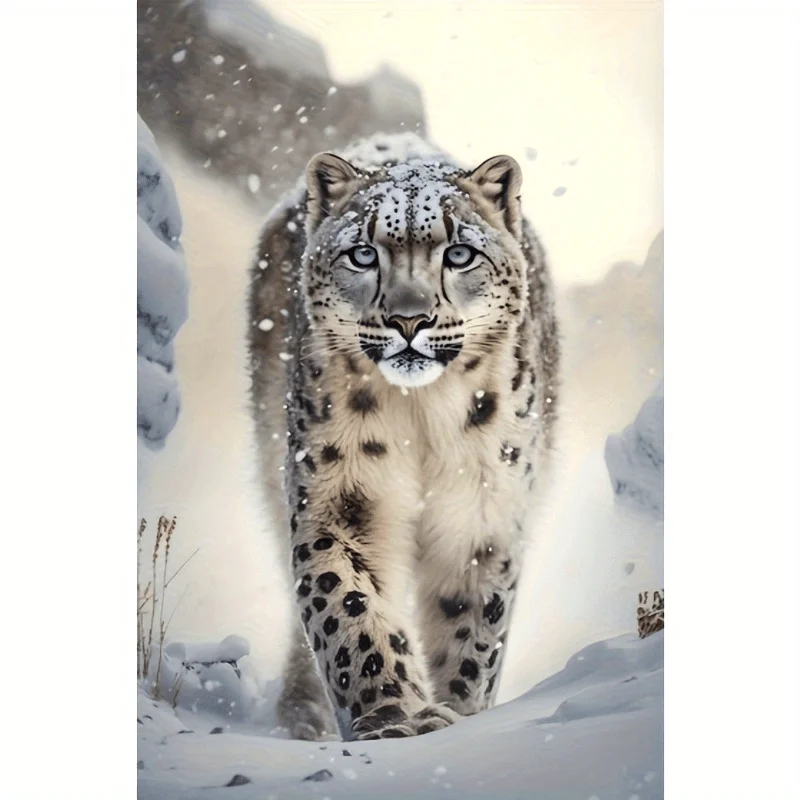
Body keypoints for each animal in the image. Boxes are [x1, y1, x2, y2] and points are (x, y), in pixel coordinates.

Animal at [247, 132, 560, 741]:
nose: (409, 319)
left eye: (459, 253)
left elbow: (474, 623)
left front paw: (459, 714)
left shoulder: (483, 507)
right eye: (363, 253)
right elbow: (347, 607)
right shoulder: (337, 501)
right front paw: (392, 719)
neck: (422, 418)